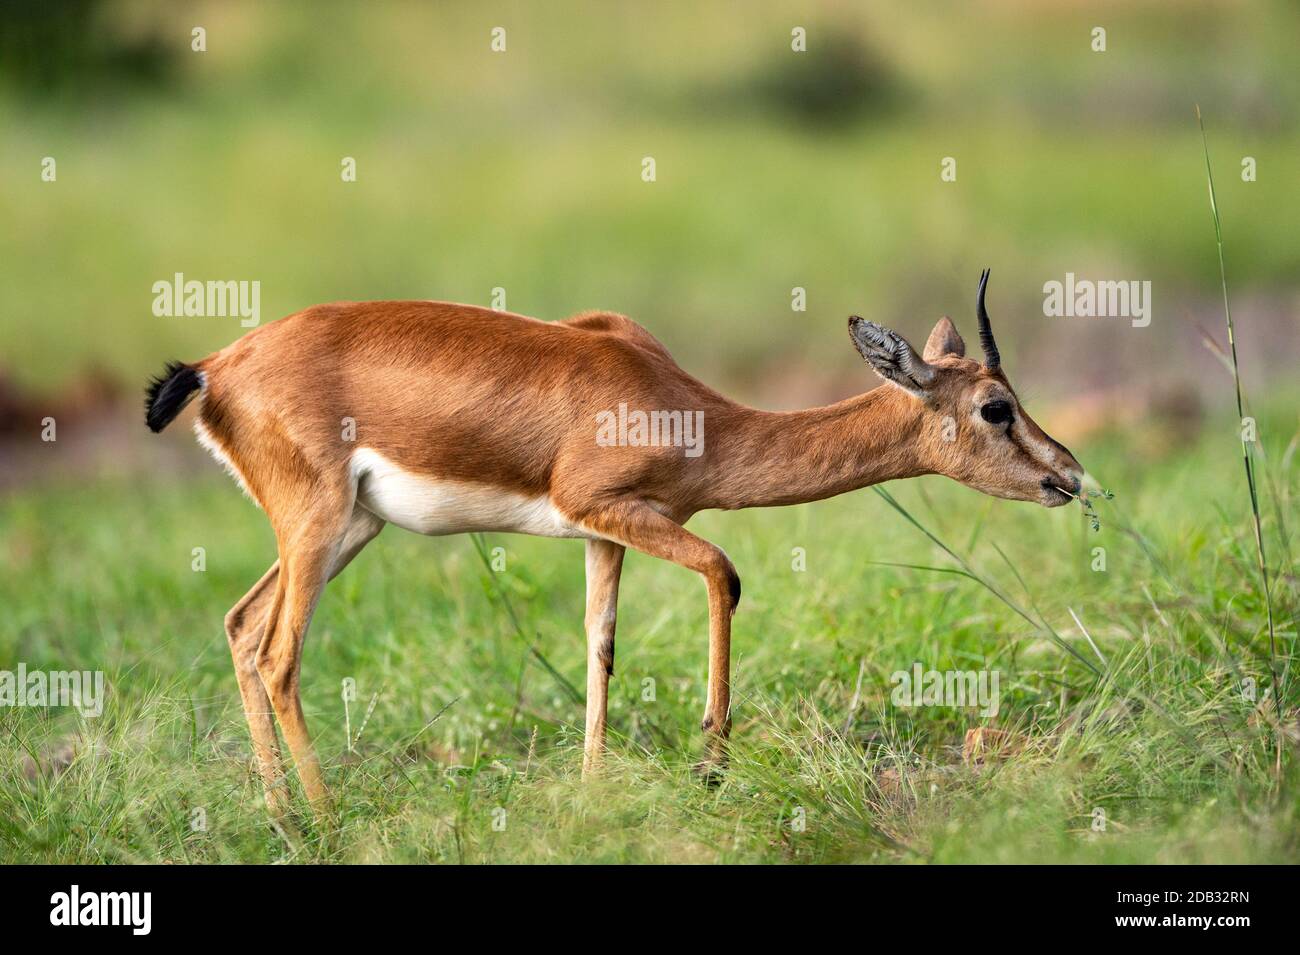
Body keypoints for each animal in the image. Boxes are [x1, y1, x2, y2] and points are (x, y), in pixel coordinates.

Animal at [145, 270, 1083, 814]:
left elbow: (599, 640)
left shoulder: (603, 533)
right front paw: (710, 762)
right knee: (279, 652)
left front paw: (594, 794)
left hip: (348, 526)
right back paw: (328, 817)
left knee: (240, 626)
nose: (1068, 474)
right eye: (996, 407)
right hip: (317, 523)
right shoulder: (612, 506)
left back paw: (280, 816)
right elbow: (724, 573)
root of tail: (218, 365)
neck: (684, 407)